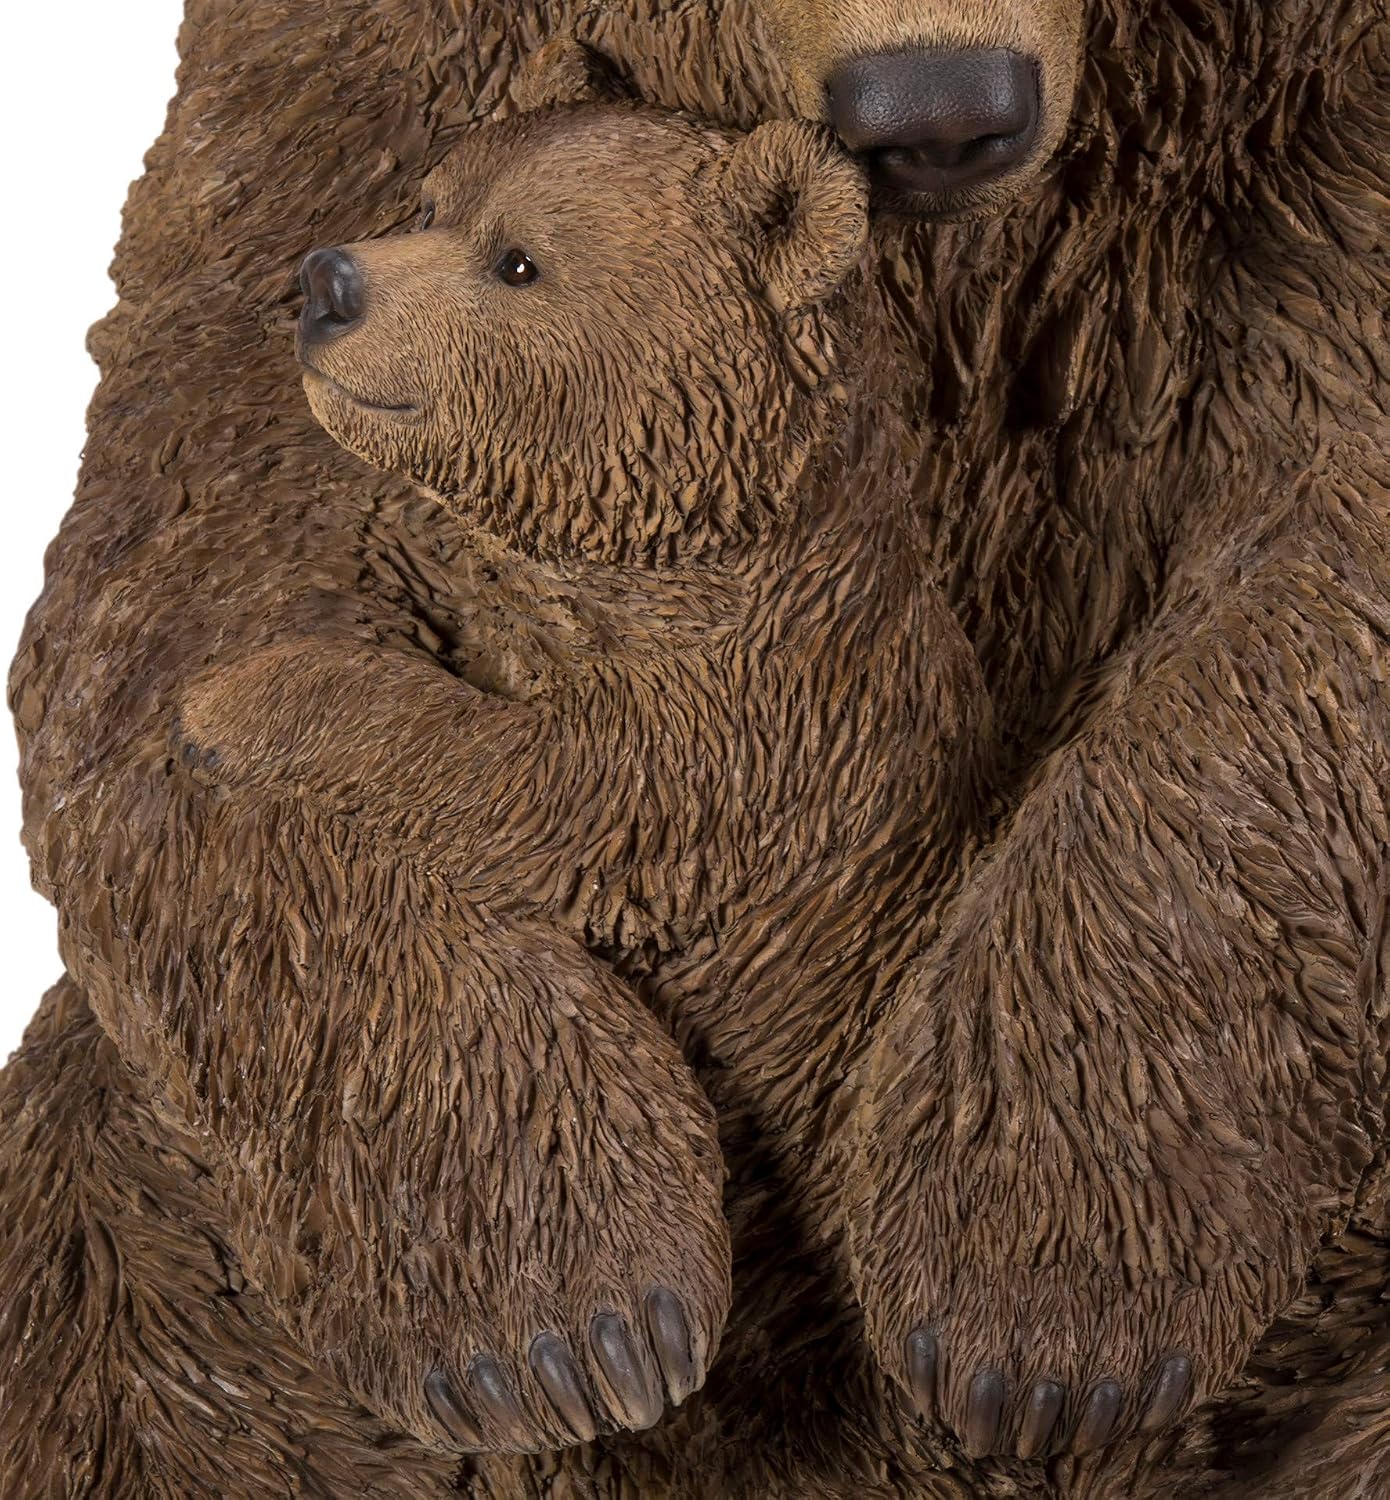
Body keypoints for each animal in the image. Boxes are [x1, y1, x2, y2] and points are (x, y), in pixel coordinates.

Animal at [5, 0, 1387, 1496]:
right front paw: (569, 1312)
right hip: (180, 1235)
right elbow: (198, 531)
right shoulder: (347, 85)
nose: (934, 106)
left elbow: (1319, 553)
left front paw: (1031, 1299)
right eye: (426, 208)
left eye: (519, 261)